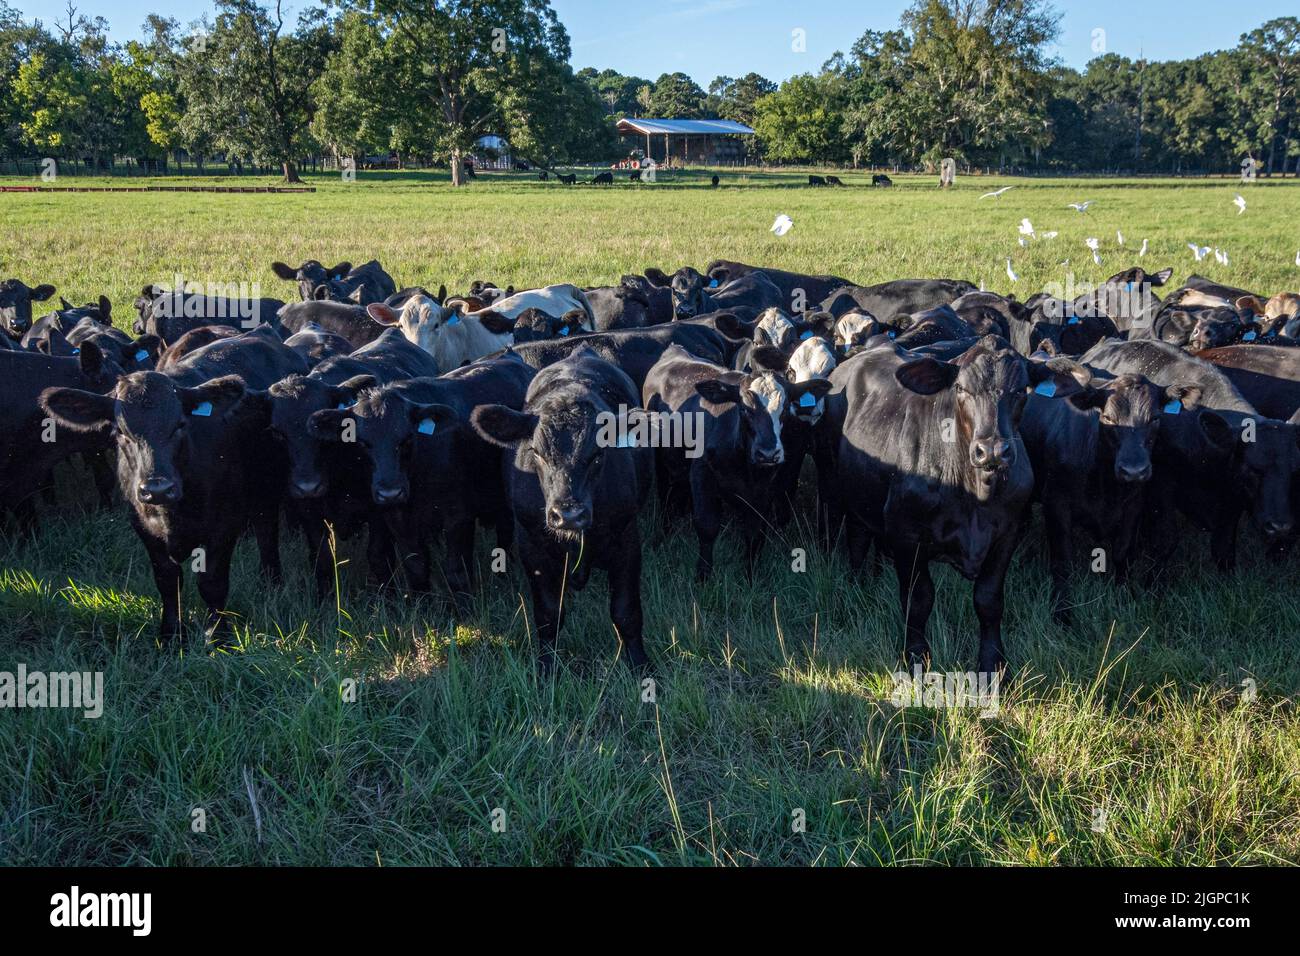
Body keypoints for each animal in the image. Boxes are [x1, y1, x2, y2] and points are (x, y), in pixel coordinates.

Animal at [38, 327, 306, 642]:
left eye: (180, 424)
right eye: (121, 432)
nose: (157, 489)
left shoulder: (224, 525)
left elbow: (212, 582)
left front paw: (218, 635)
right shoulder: (143, 527)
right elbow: (167, 580)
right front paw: (170, 634)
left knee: (267, 530)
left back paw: (270, 581)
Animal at [471, 349, 654, 671]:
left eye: (598, 454)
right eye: (536, 452)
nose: (568, 514)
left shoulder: (627, 539)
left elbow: (626, 611)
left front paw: (639, 664)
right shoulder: (531, 544)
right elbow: (548, 615)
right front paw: (546, 667)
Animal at [823, 336, 1085, 674]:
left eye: (1021, 389)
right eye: (960, 388)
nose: (992, 451)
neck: (974, 492)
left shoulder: (1009, 532)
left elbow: (989, 600)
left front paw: (993, 665)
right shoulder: (905, 534)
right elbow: (918, 600)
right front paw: (916, 659)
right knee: (856, 540)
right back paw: (857, 587)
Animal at [1081, 338, 1300, 569]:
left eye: (1295, 470)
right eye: (1253, 469)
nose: (1279, 526)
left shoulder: (1233, 494)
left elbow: (1223, 548)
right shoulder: (1162, 482)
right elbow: (1165, 540)